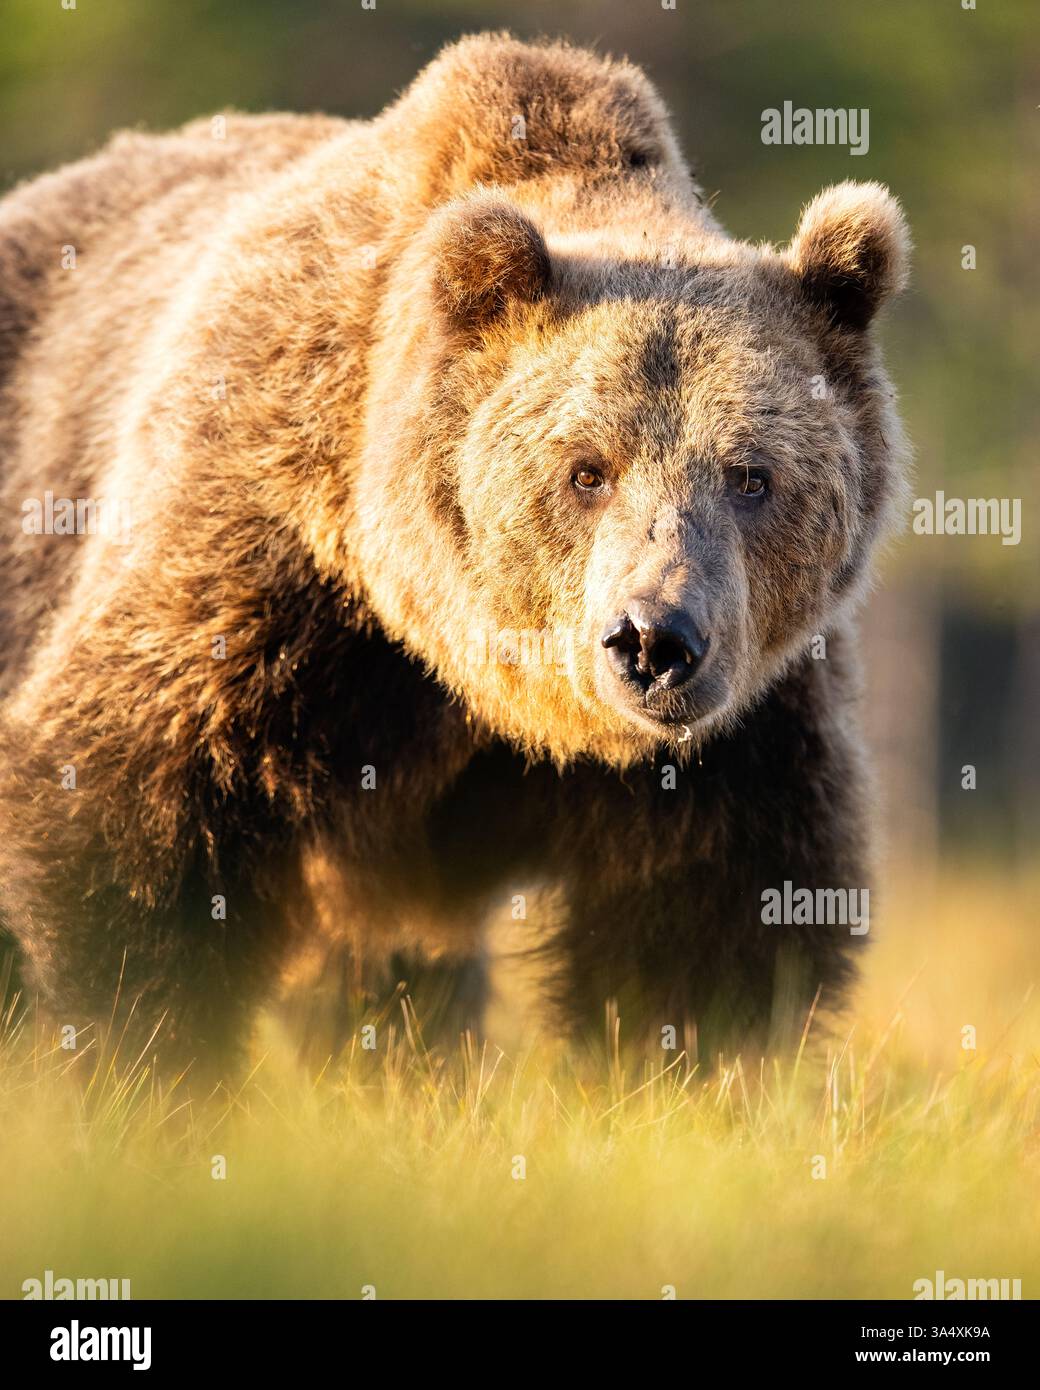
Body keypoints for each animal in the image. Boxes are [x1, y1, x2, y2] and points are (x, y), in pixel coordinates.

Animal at [0, 33, 910, 1071]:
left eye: (750, 476)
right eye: (587, 471)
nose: (652, 640)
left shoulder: (752, 702)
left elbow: (719, 908)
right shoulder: (269, 550)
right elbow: (138, 794)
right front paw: (148, 1057)